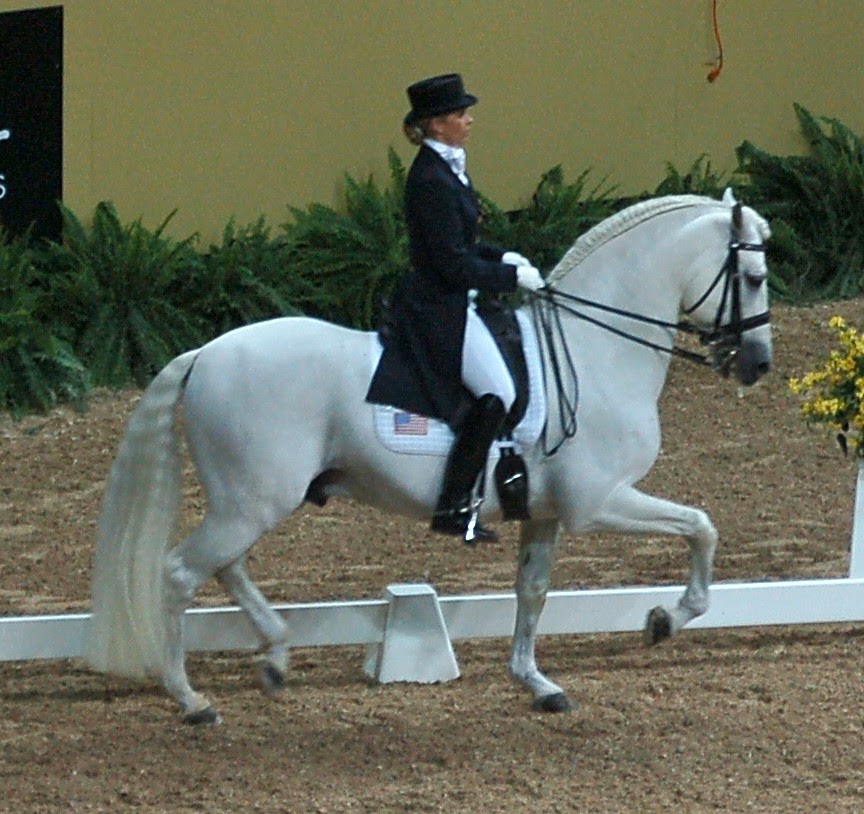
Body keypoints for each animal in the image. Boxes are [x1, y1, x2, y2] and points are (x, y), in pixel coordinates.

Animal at [84, 189, 773, 723]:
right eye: (754, 279)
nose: (758, 366)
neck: (594, 350)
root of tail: (205, 353)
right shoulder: (597, 502)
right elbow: (702, 528)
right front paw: (664, 621)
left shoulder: (546, 512)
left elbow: (532, 592)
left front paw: (537, 683)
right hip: (252, 501)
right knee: (181, 573)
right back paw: (192, 700)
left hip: (247, 501)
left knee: (226, 566)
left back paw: (276, 655)